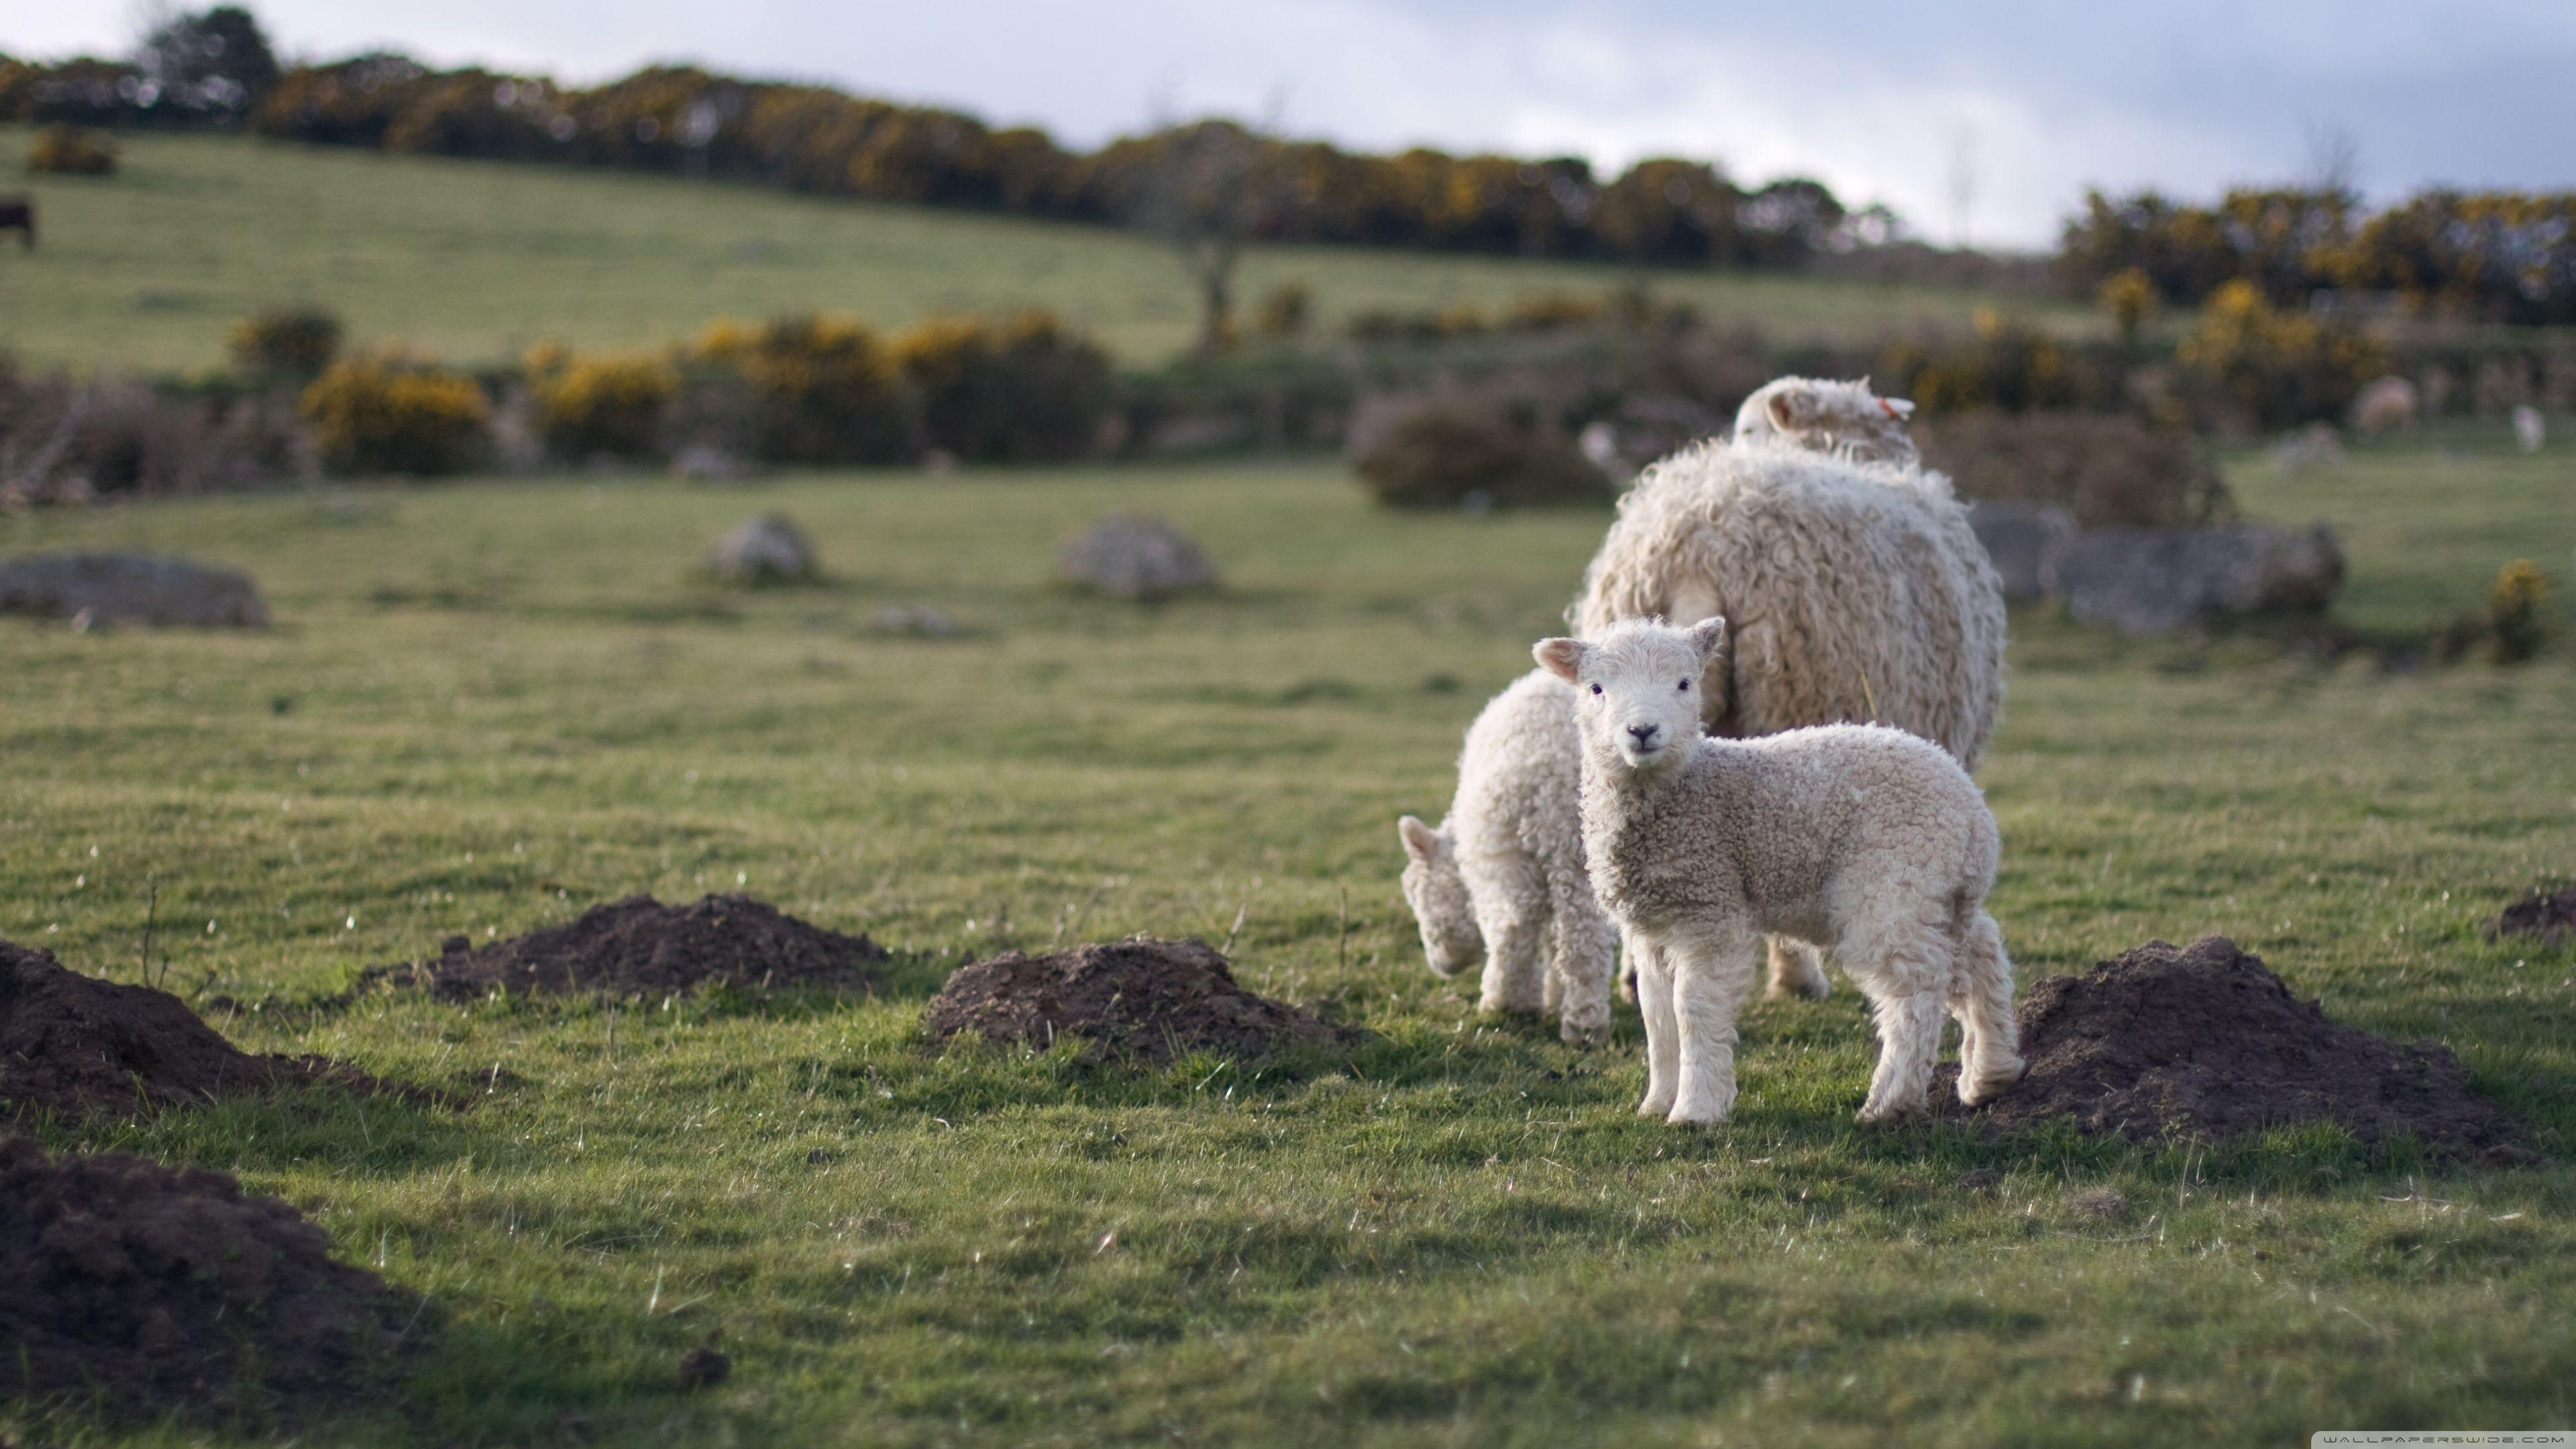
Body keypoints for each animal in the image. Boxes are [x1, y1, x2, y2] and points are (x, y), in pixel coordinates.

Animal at [1396, 671, 1615, 1046]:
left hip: (1500, 844)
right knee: (1582, 936)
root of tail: (1553, 773)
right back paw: (1585, 1024)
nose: (1441, 967)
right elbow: (1553, 938)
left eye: (1417, 899)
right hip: (1583, 855)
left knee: (1512, 924)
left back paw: (1505, 1004)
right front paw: (1555, 997)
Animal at [1534, 617, 2024, 1124]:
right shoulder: (1651, 927)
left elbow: (1693, 1008)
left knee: (1916, 992)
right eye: (1596, 689)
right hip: (1937, 890)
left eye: (1685, 683)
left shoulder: (1710, 909)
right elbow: (1657, 1013)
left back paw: (1889, 1101)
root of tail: (1973, 811)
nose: (1643, 730)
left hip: (1894, 880)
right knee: (1980, 953)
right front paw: (1655, 1104)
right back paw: (1990, 1073)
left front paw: (1695, 1109)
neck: (1685, 790)